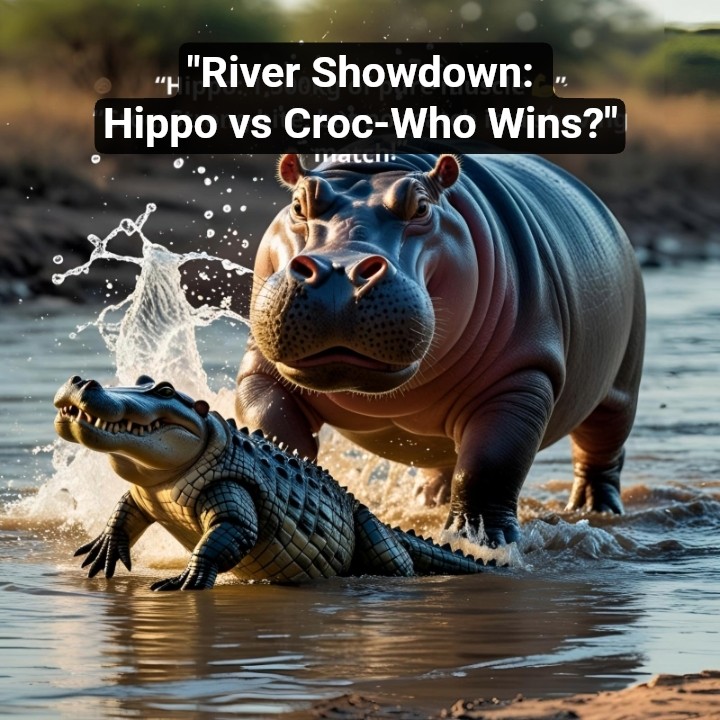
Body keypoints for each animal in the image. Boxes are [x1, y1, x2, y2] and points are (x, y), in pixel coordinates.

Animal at [235, 153, 645, 546]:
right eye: (298, 204)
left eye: (420, 208)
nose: (340, 271)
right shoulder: (263, 372)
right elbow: (273, 428)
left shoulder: (519, 378)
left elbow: (490, 465)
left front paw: (481, 541)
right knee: (442, 457)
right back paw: (427, 501)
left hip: (620, 387)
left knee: (601, 446)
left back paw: (595, 509)